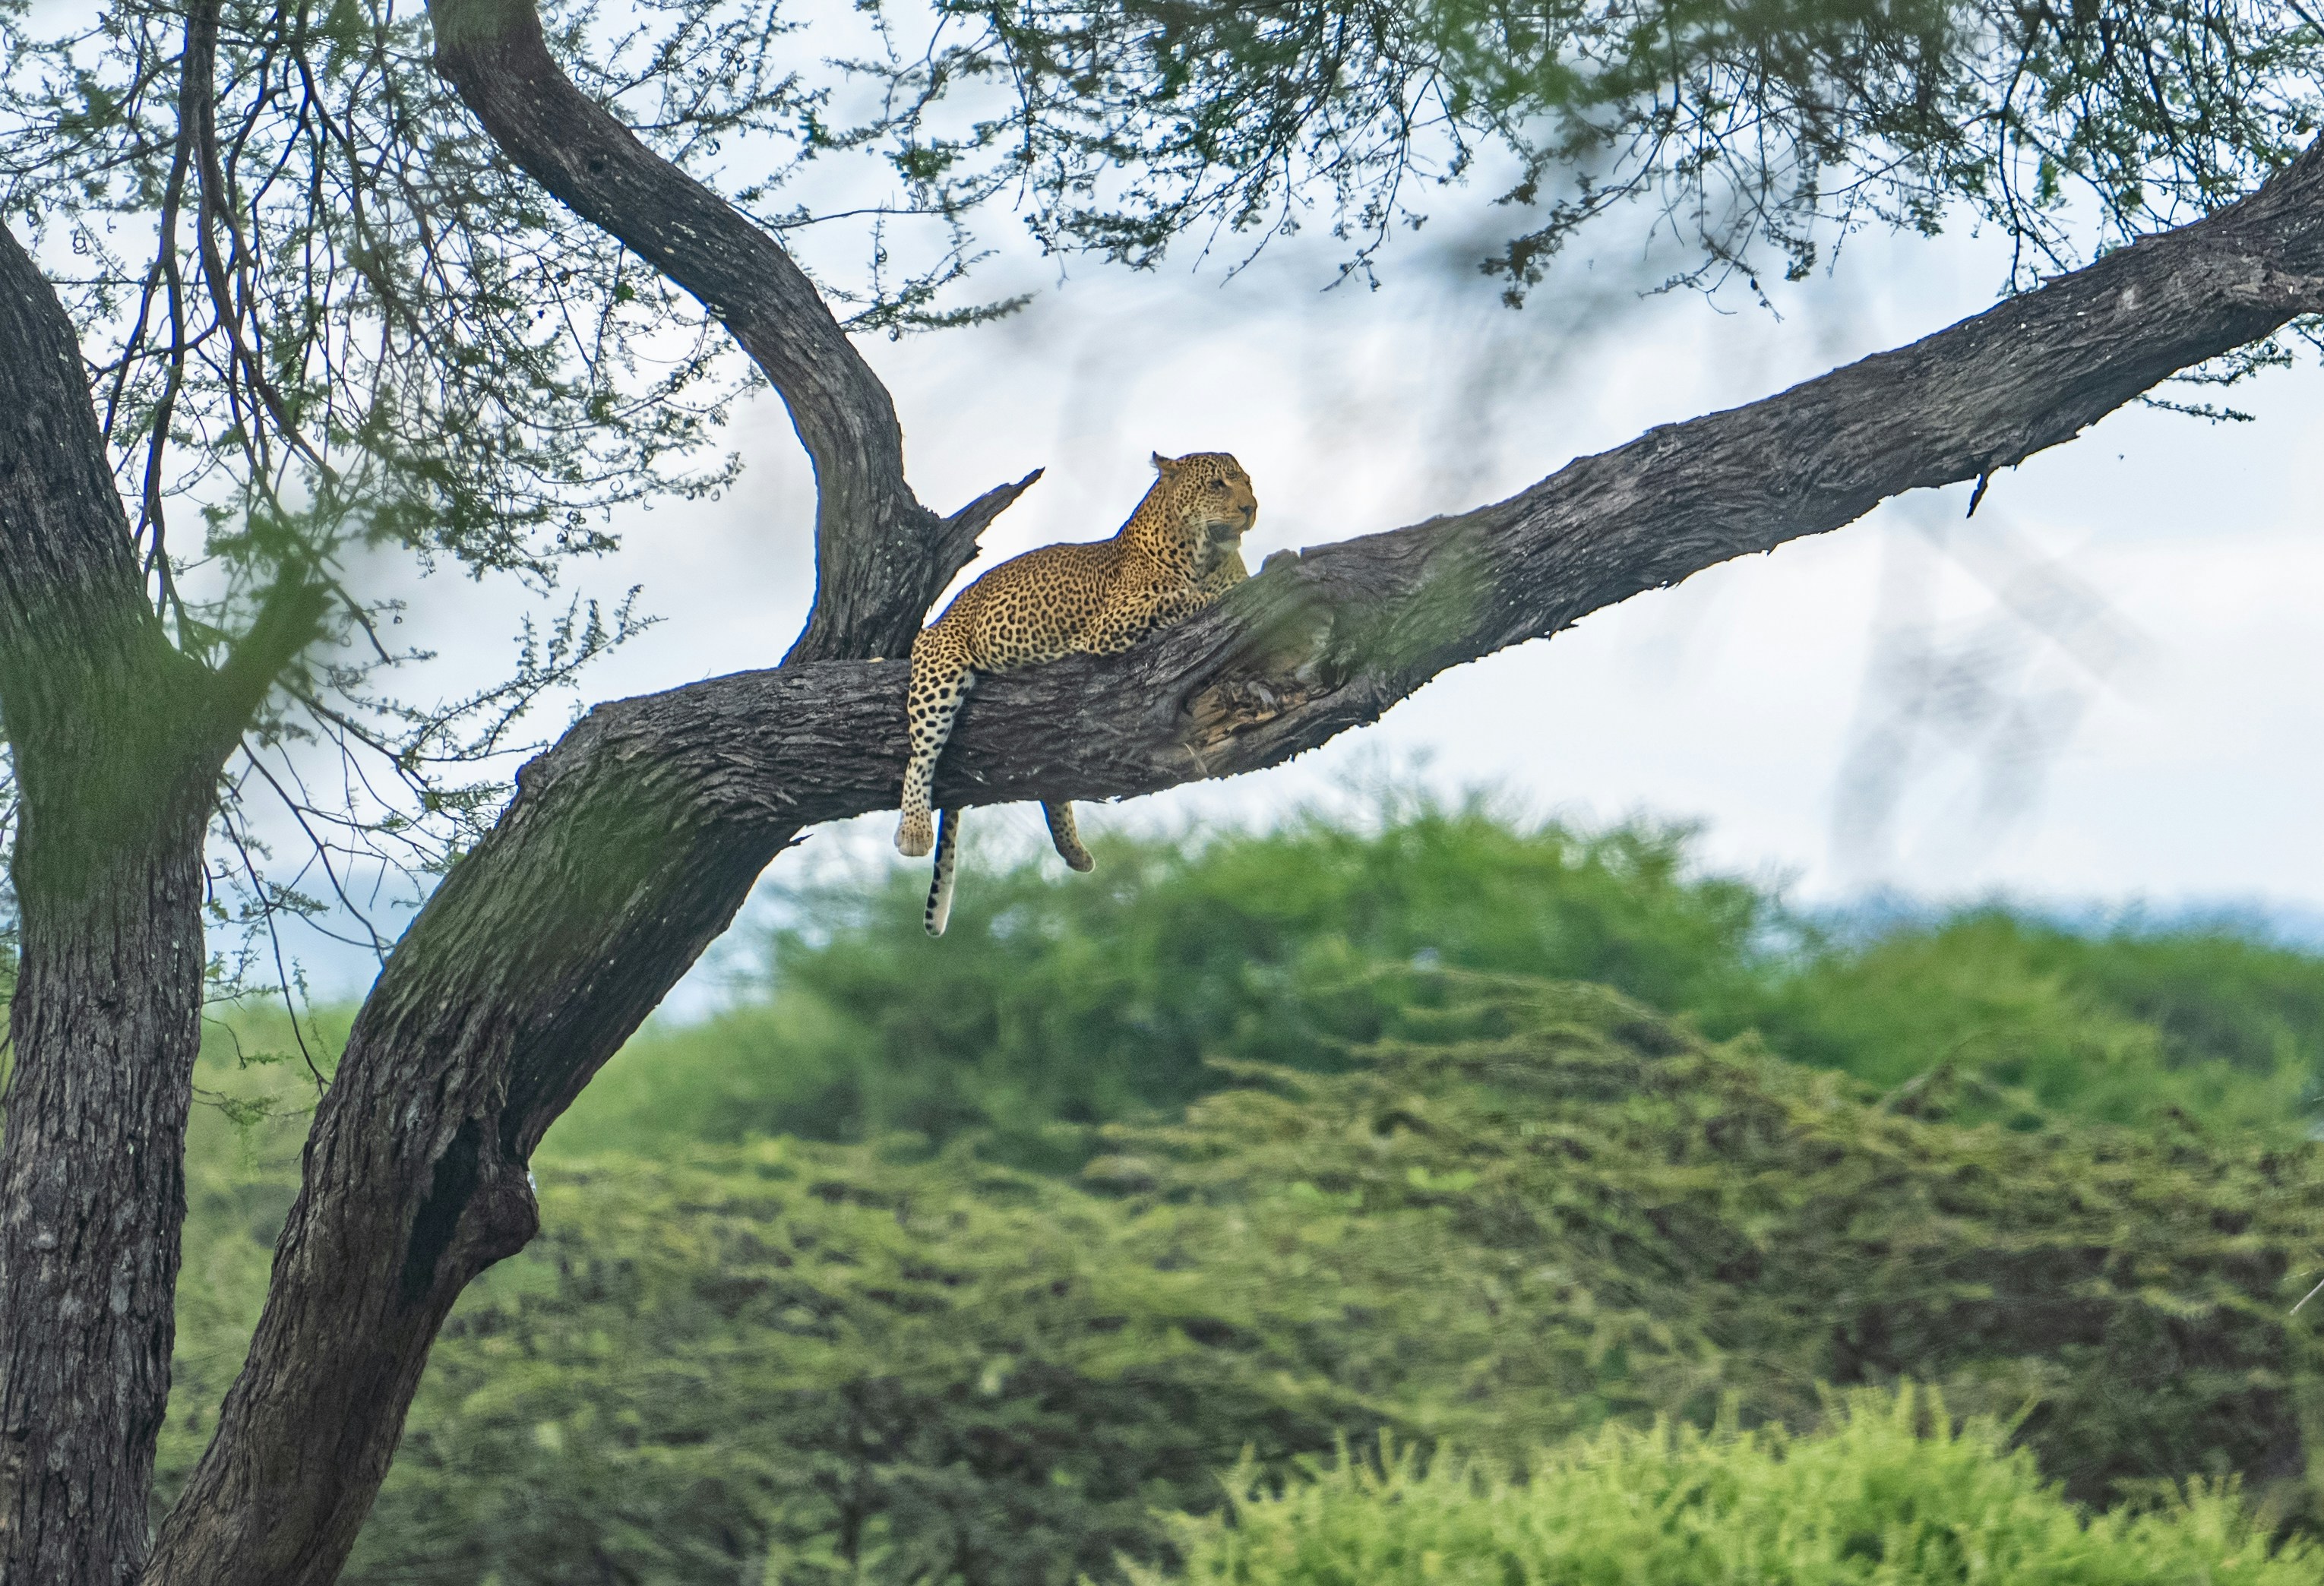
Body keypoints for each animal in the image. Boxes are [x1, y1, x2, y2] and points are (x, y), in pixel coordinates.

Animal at [895, 450, 1258, 935]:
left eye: (1247, 482)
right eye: (1218, 484)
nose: (1251, 508)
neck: (1203, 553)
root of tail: (946, 612)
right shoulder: (1114, 622)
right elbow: (1185, 599)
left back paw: (1074, 852)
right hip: (941, 668)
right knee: (921, 753)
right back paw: (914, 831)